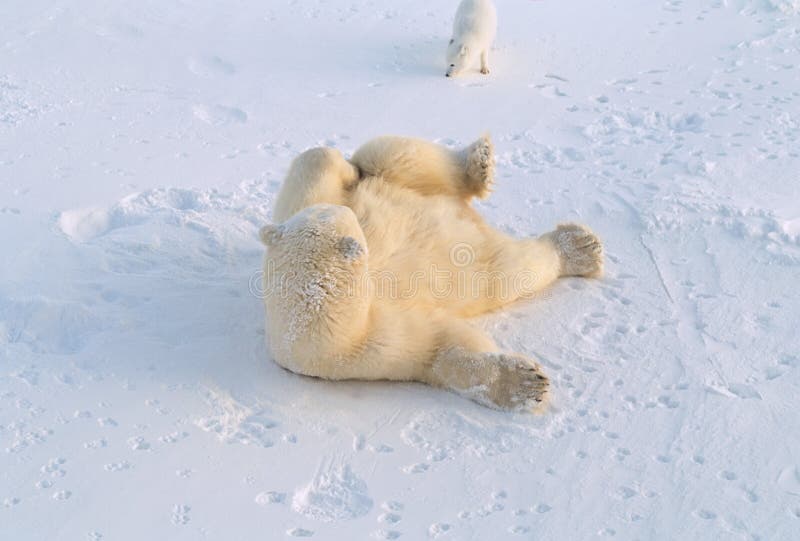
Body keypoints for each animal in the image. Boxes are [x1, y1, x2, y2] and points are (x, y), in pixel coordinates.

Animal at [259, 135, 603, 412]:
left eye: (331, 214)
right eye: (344, 222)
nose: (349, 209)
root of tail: (463, 211)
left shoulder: (301, 203)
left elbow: (316, 165)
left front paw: (347, 170)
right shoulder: (364, 343)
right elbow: (440, 348)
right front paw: (528, 383)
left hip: (391, 174)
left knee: (384, 154)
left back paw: (476, 163)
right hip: (483, 260)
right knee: (513, 270)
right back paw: (579, 247)